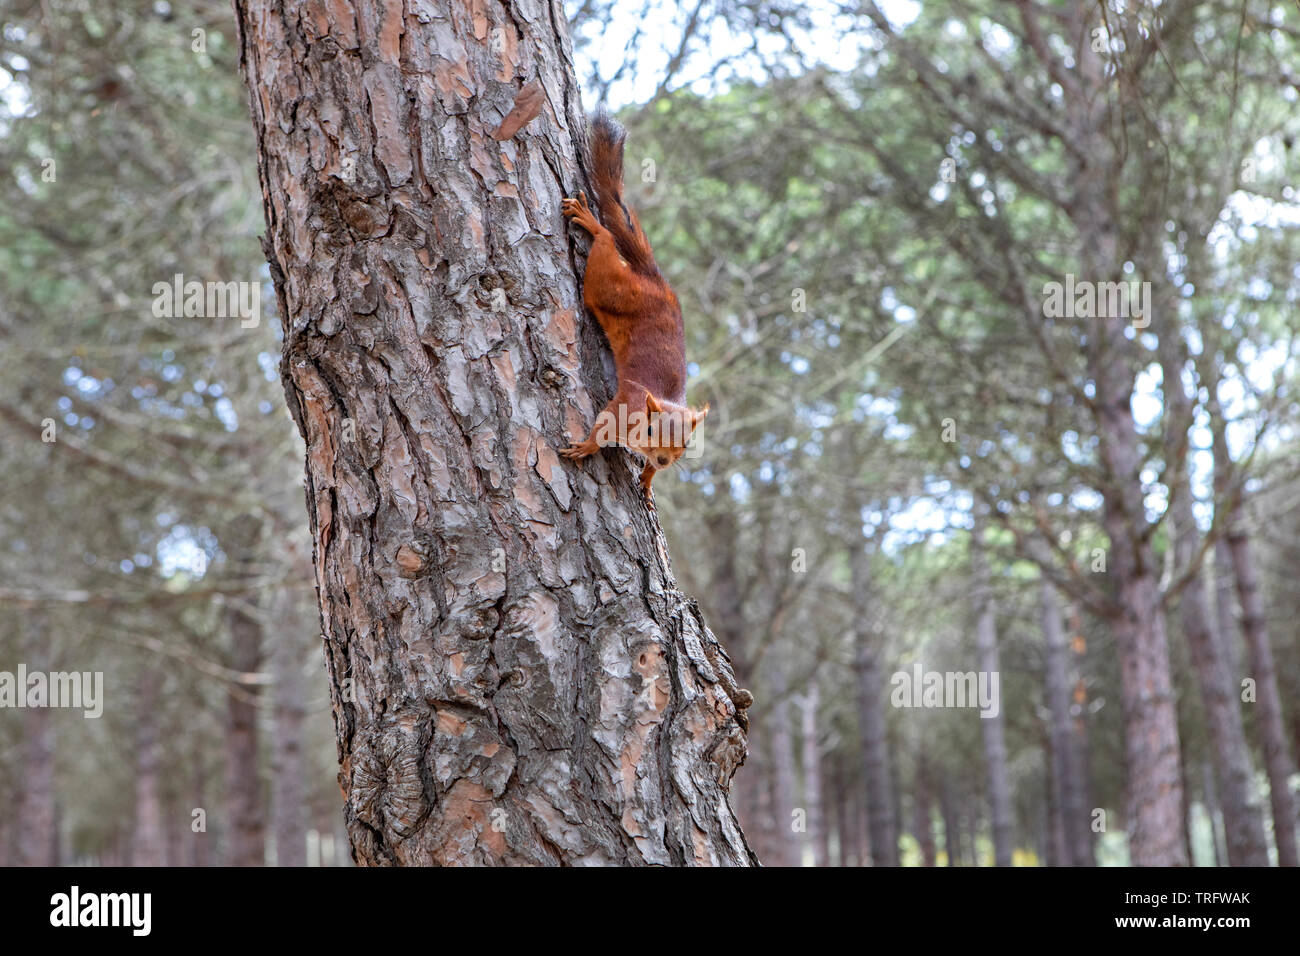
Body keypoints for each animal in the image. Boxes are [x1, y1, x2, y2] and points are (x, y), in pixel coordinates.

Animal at [559, 112, 709, 507]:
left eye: (686, 443)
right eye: (652, 428)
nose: (663, 459)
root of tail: (654, 280)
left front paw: (650, 478)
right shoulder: (620, 408)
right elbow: (600, 426)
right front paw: (586, 447)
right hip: (607, 288)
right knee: (606, 243)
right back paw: (592, 224)